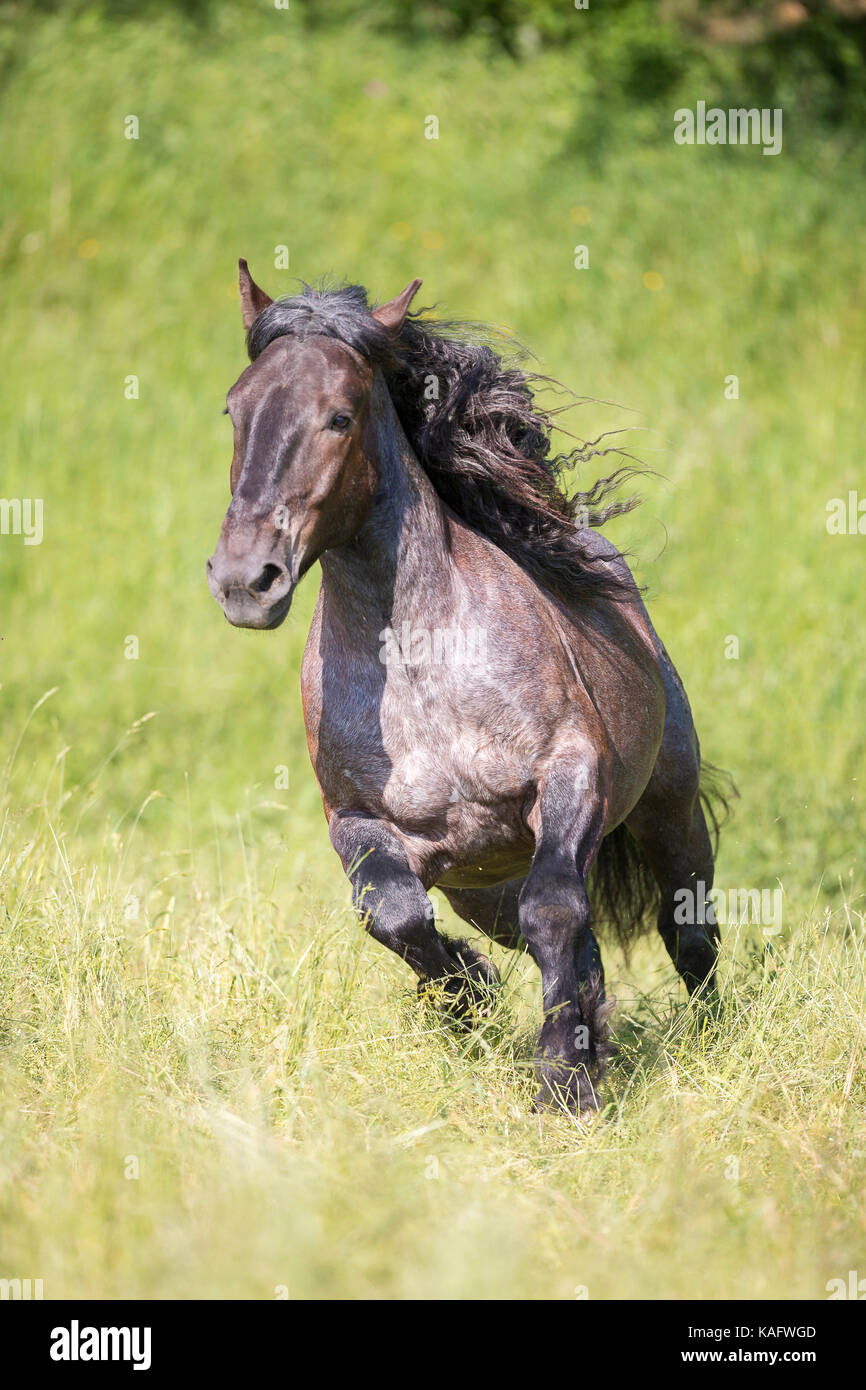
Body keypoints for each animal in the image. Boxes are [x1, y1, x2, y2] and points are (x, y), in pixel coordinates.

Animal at [206, 261, 731, 1114]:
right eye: (235, 408)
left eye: (339, 416)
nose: (244, 581)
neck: (426, 676)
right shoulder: (361, 823)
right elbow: (394, 917)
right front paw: (473, 998)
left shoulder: (570, 772)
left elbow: (558, 908)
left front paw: (561, 1085)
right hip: (483, 889)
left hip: (668, 811)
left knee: (684, 932)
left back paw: (709, 1036)